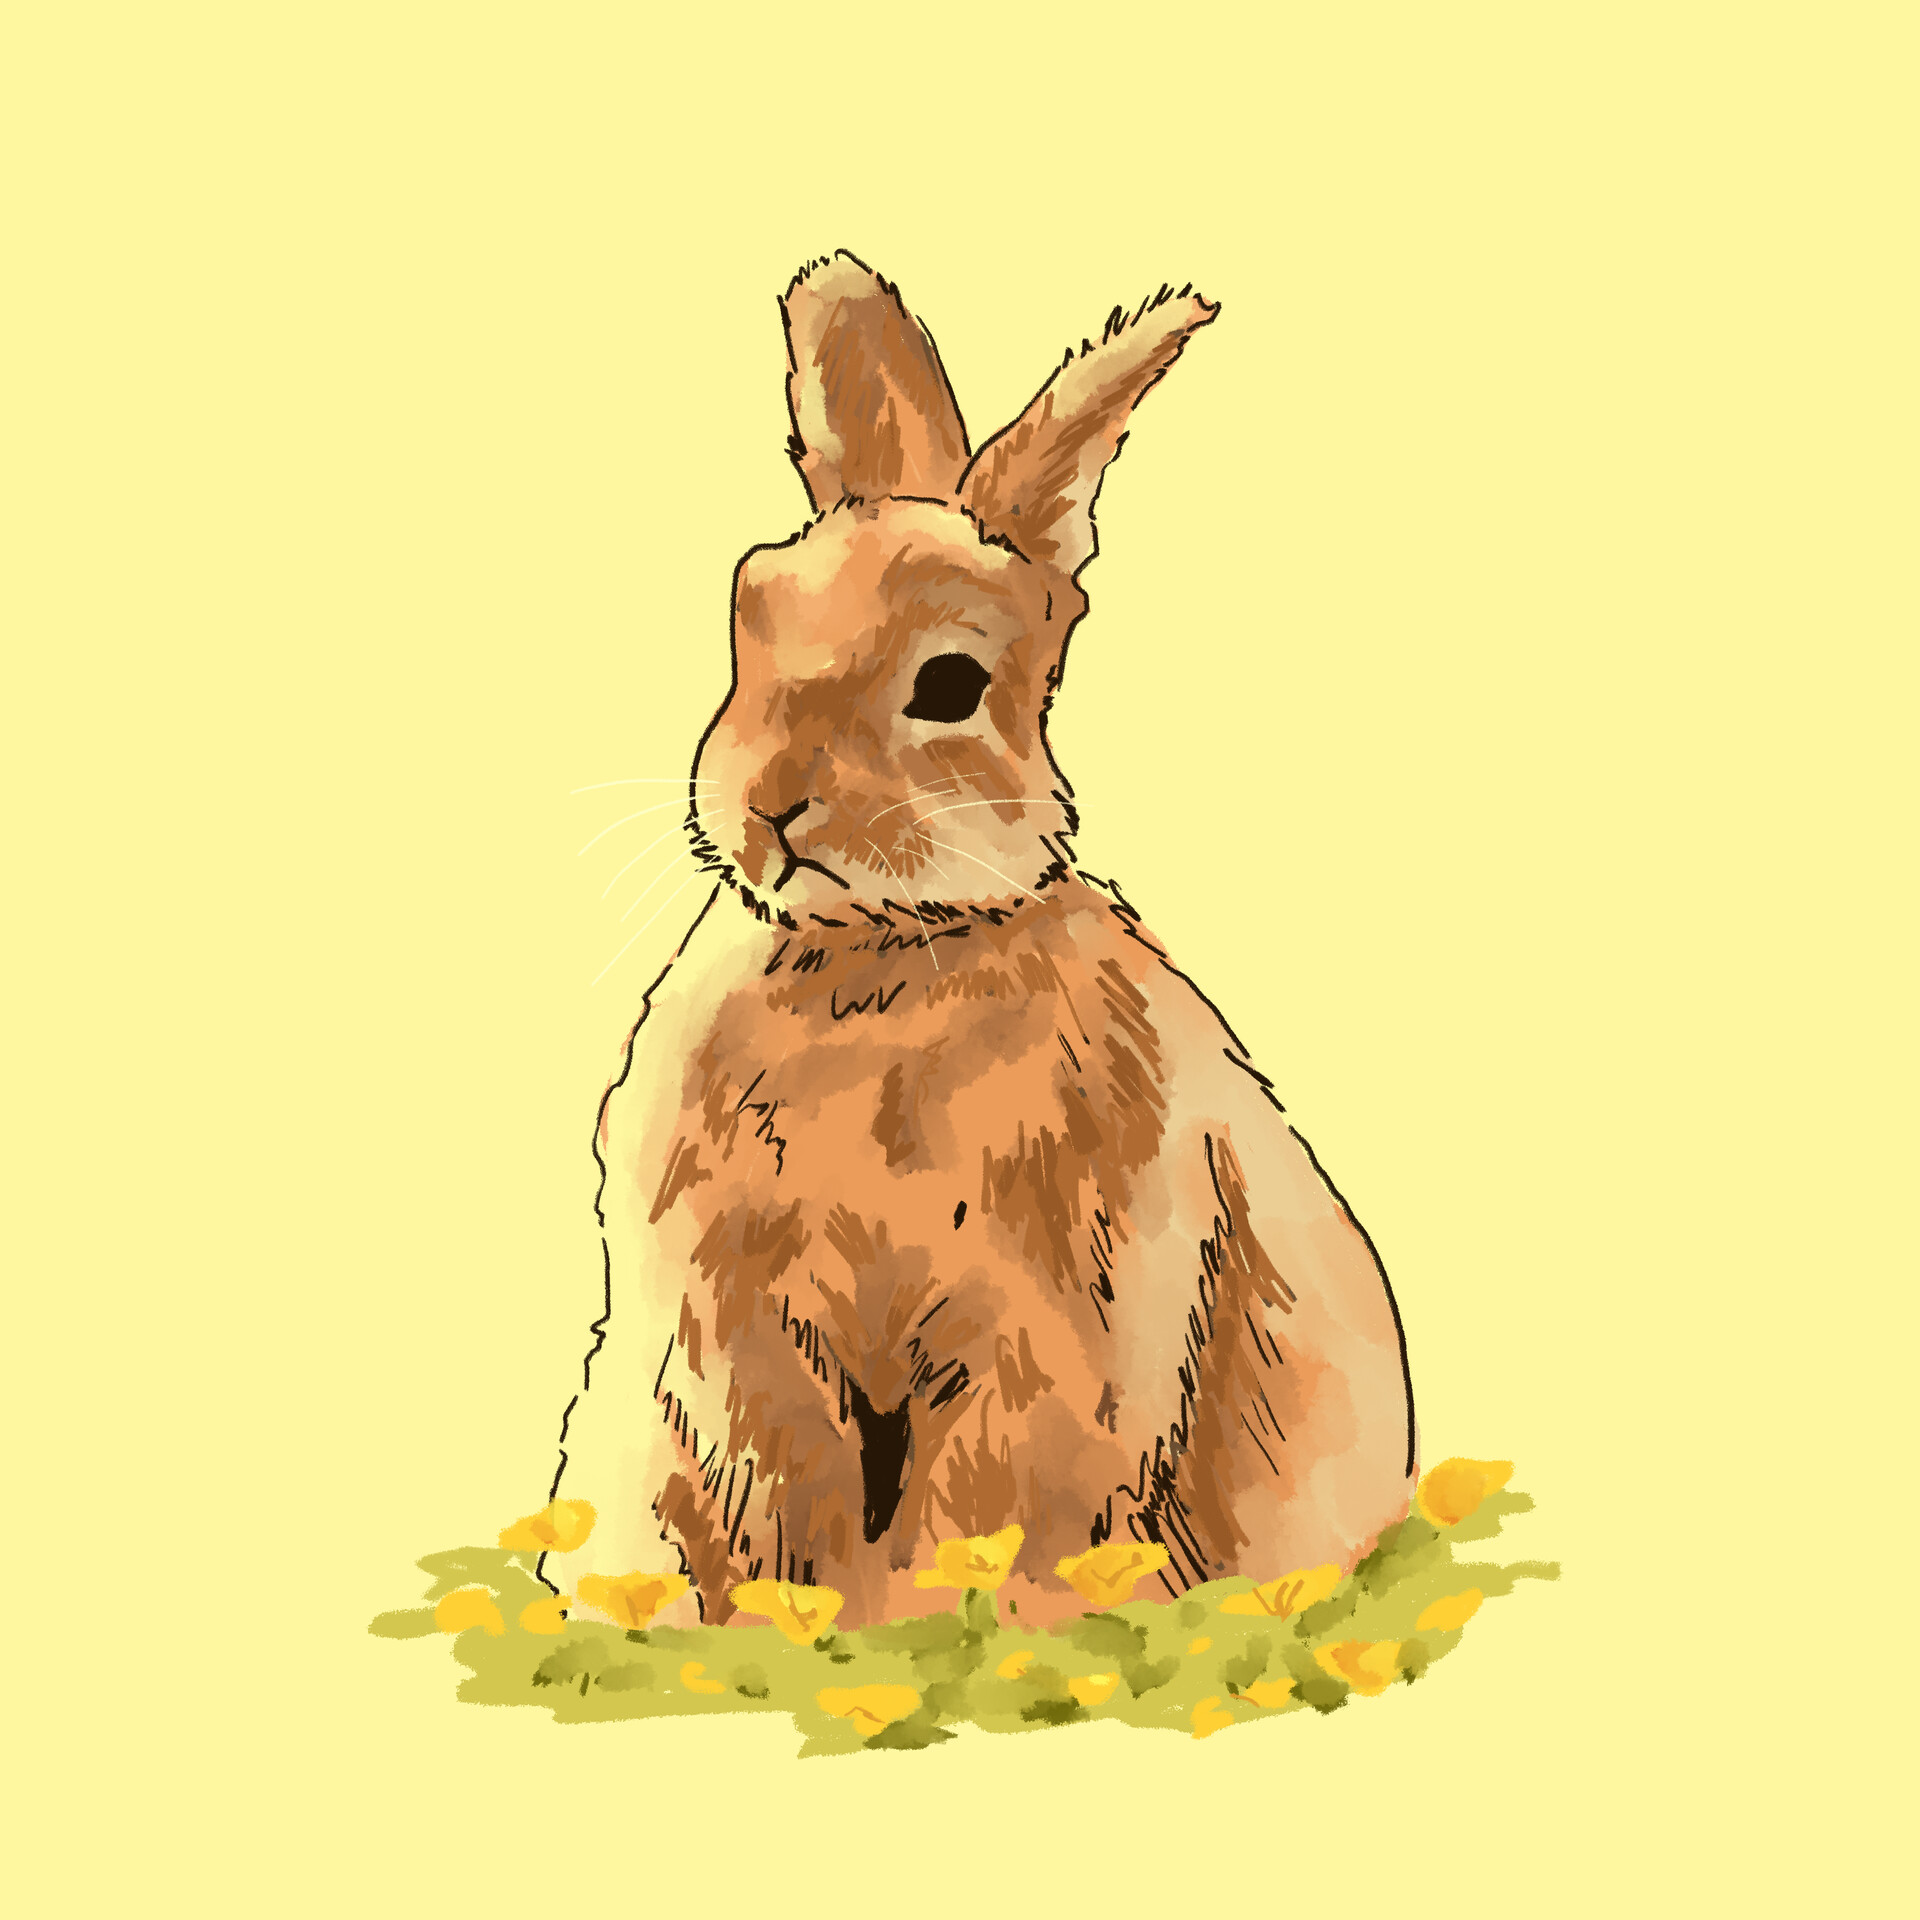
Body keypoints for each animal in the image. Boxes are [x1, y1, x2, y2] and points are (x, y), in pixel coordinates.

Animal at [539, 250, 1416, 1632]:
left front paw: (944, 1635)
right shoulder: (742, 1337)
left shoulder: (1053, 1333)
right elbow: (791, 1499)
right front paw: (805, 1638)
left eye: (950, 686)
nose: (768, 807)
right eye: (749, 612)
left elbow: (981, 1517)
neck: (888, 953)